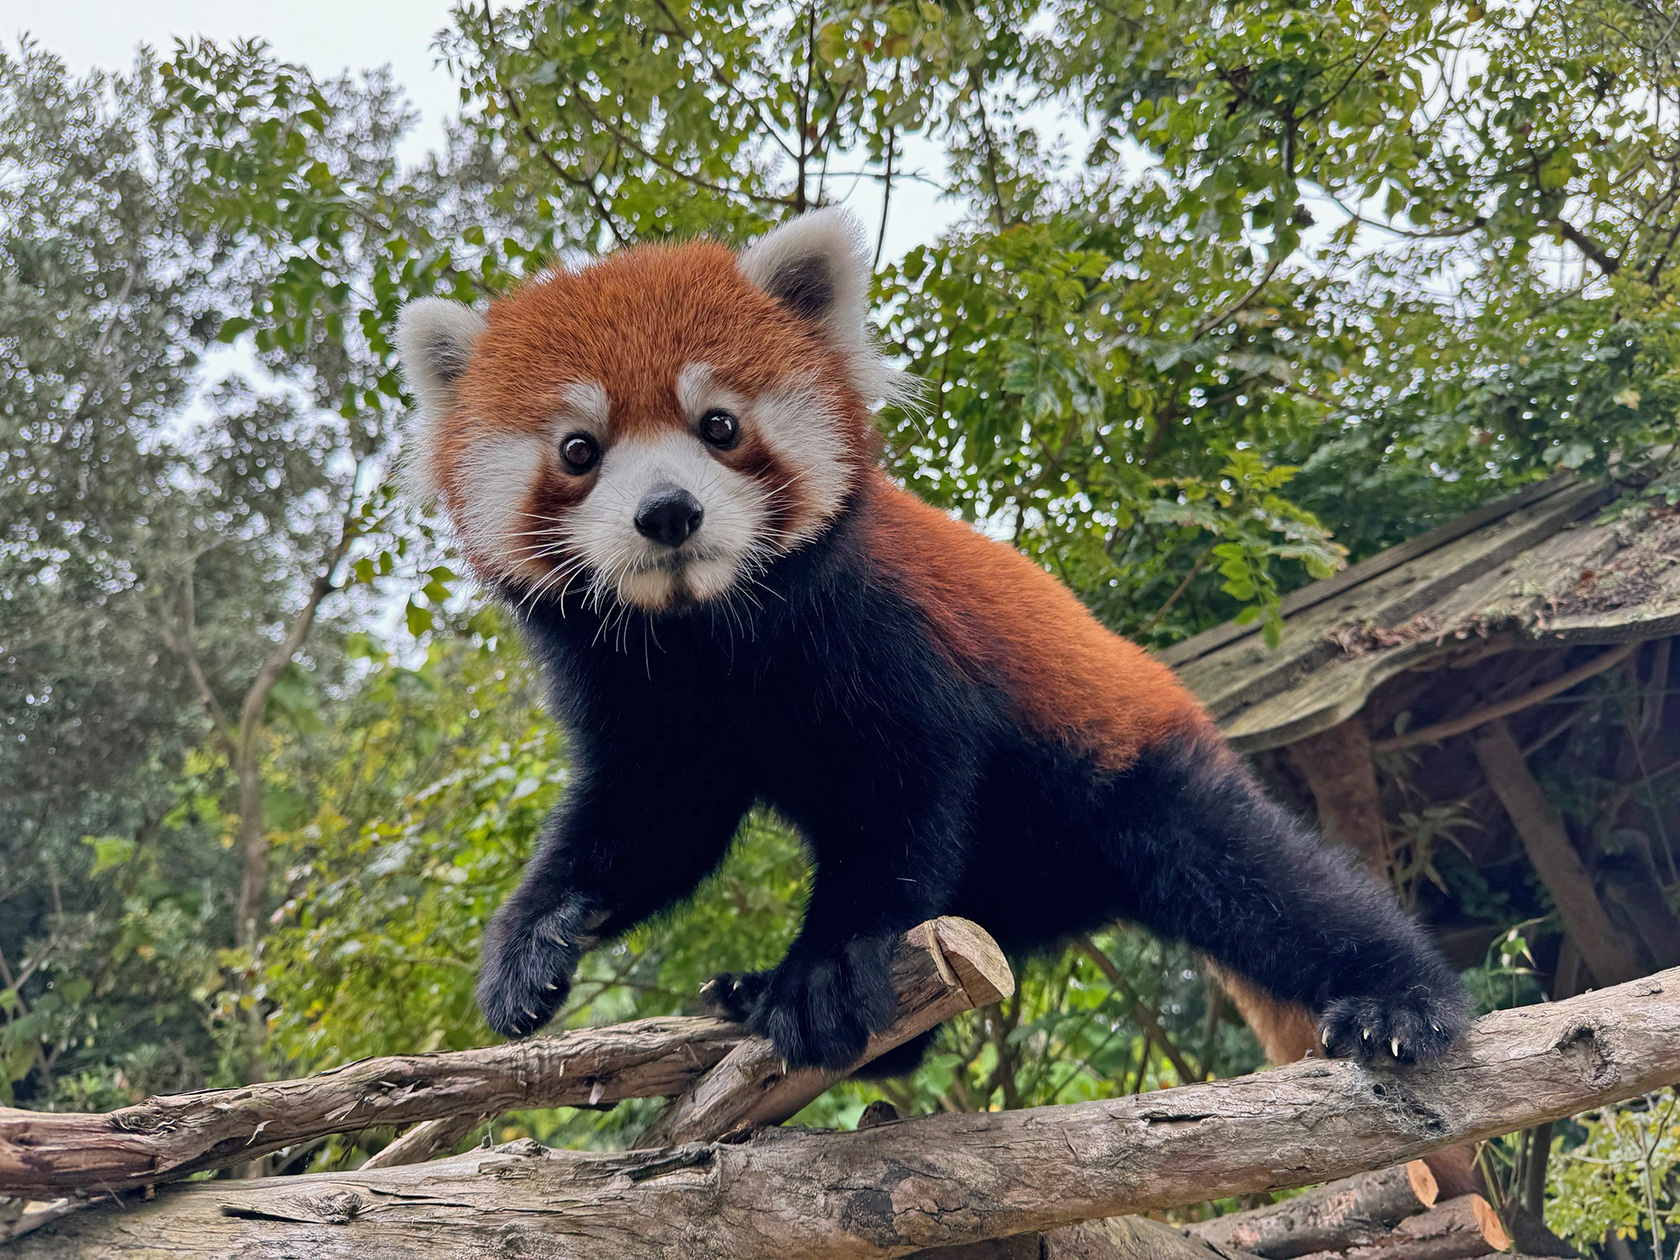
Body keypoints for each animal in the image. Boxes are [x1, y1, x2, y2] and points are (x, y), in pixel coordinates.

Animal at [394, 208, 1470, 1074]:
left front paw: (826, 968)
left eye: (720, 426)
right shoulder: (640, 693)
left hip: (1129, 771)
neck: (714, 631)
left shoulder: (888, 637)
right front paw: (532, 946)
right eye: (580, 451)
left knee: (1266, 877)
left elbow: (900, 798)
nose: (668, 513)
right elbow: (653, 822)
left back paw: (1400, 996)